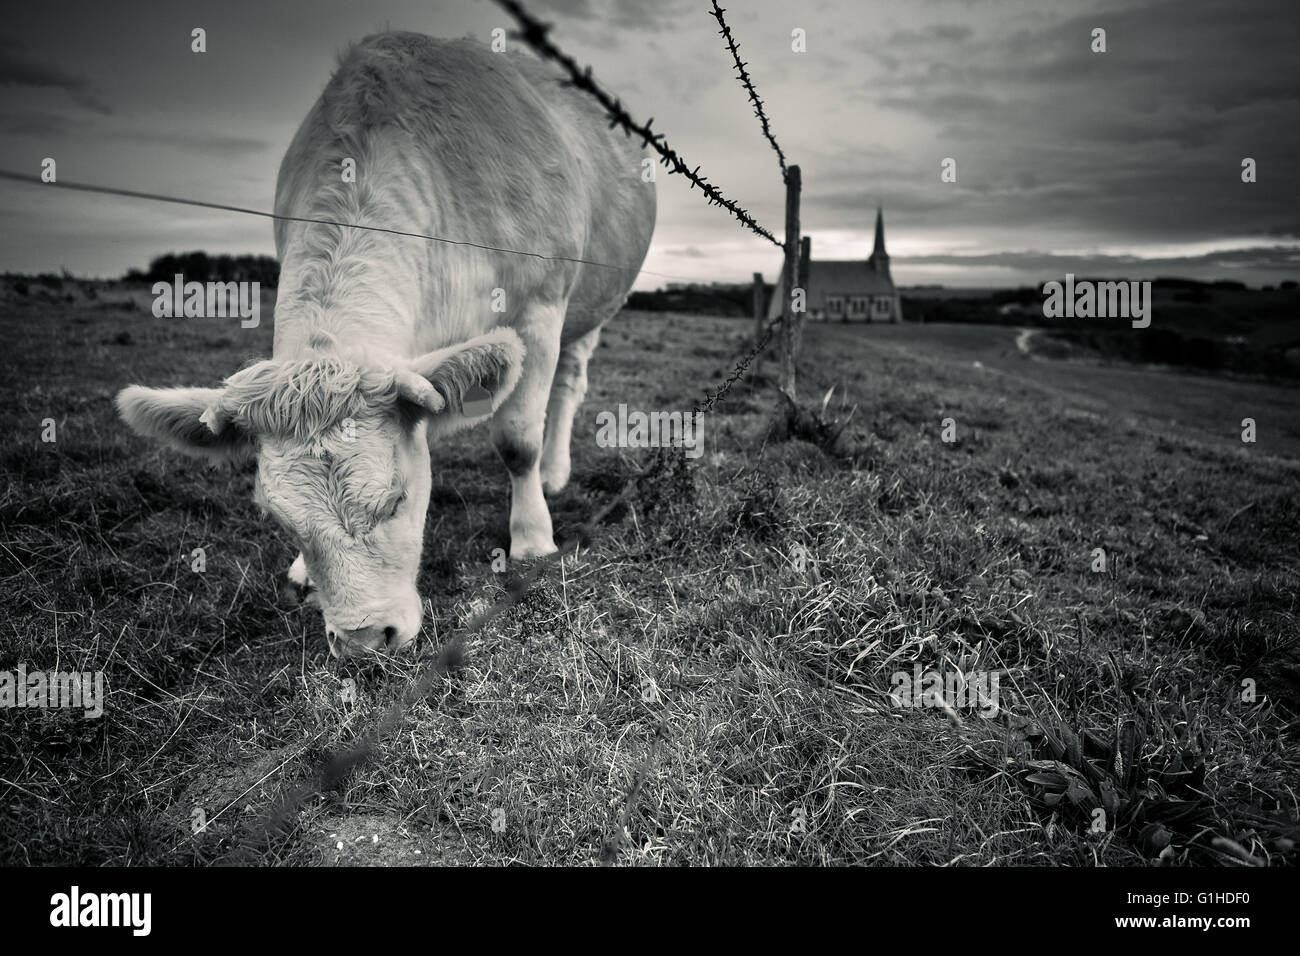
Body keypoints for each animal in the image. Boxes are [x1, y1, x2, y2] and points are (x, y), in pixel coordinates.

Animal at [115, 32, 656, 658]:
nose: (366, 638)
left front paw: (532, 539)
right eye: (279, 520)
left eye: (398, 498)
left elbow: (519, 439)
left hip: (588, 311)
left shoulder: (539, 309)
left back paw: (553, 472)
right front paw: (301, 570)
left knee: (568, 386)